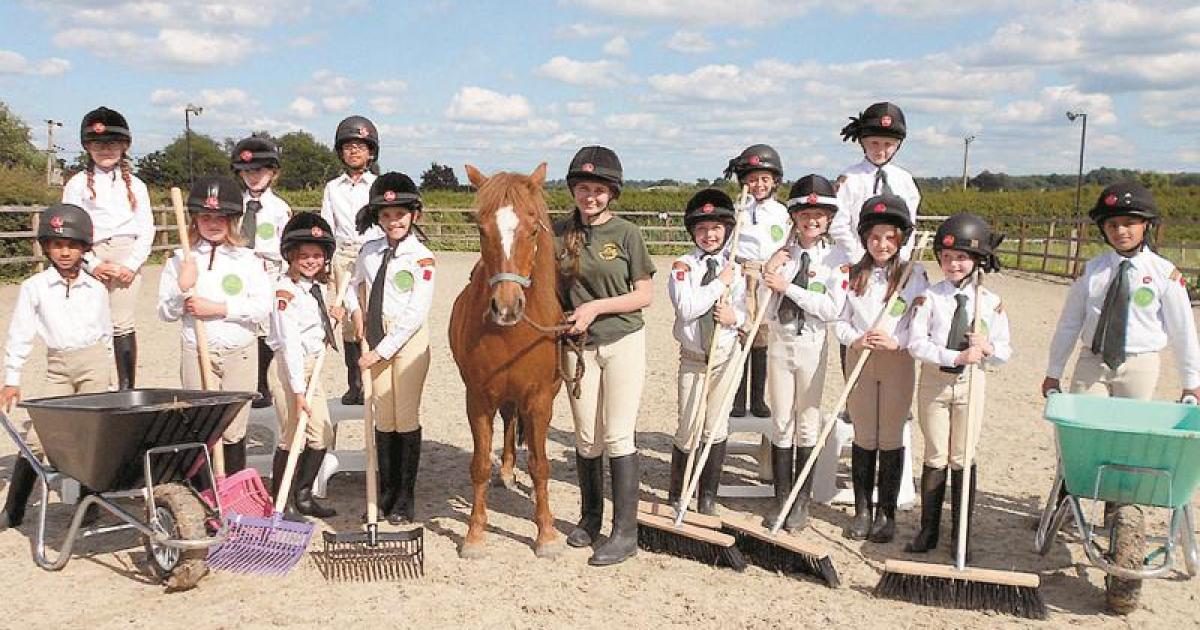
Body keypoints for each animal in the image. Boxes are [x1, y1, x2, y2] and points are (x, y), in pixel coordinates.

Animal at [448, 163, 565, 559]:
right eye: (481, 229)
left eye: (533, 229)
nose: (506, 306)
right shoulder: (478, 400)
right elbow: (480, 465)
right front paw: (474, 535)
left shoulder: (540, 400)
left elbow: (541, 466)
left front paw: (547, 534)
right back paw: (507, 472)